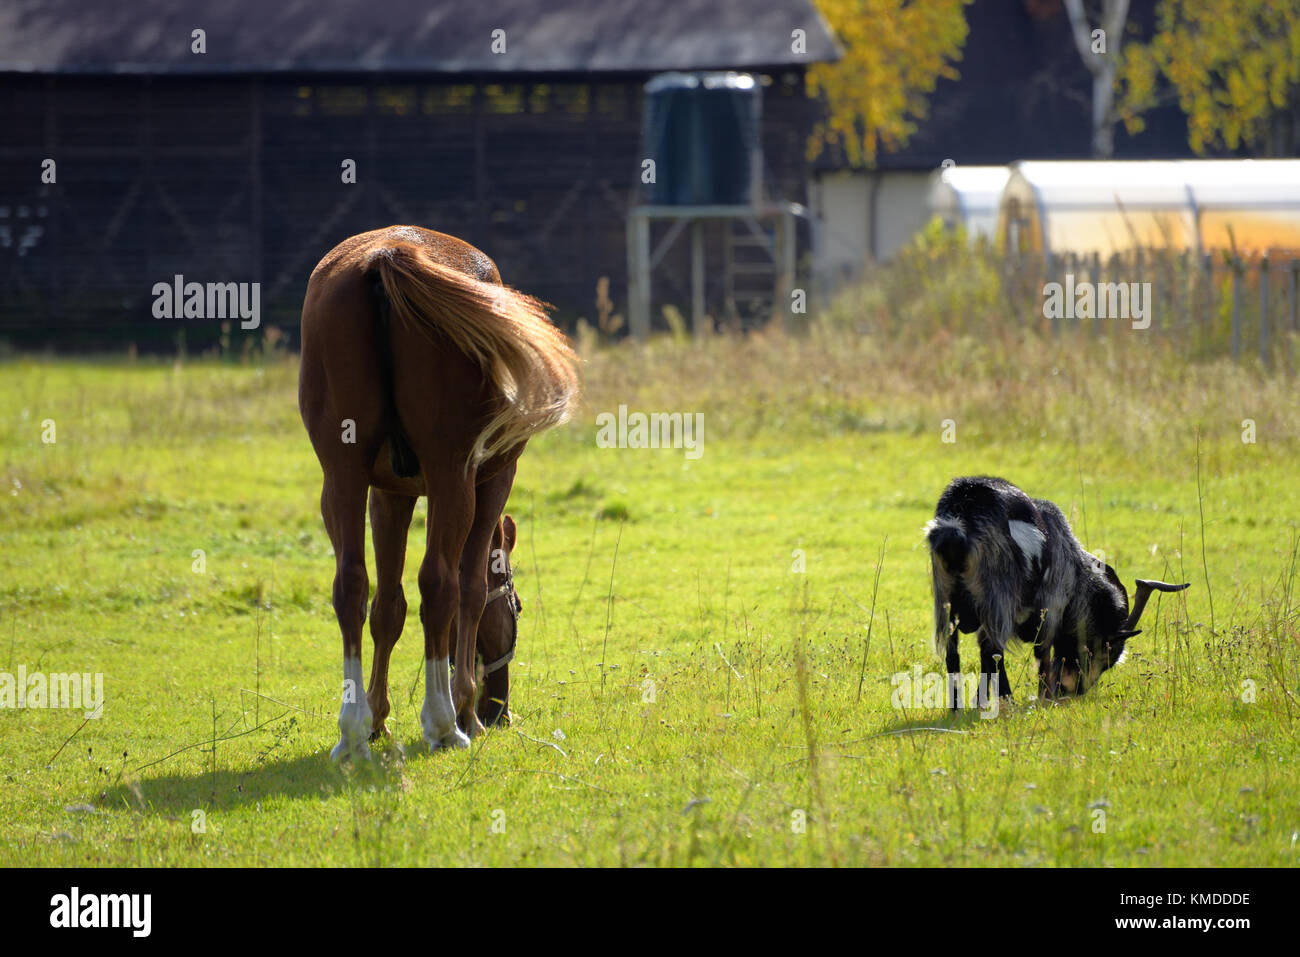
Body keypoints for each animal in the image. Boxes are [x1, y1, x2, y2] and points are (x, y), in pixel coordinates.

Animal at [298, 225, 579, 761]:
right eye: (516, 607)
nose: (500, 710)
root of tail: (389, 254)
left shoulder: (389, 495)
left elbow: (388, 607)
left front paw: (377, 718)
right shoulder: (491, 483)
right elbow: (470, 590)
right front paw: (466, 707)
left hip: (341, 476)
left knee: (351, 586)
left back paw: (352, 732)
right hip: (455, 479)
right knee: (441, 584)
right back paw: (446, 723)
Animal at [926, 476, 1188, 708]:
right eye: (1105, 654)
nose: (1074, 690)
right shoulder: (1052, 603)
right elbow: (1041, 652)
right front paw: (1045, 699)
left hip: (947, 600)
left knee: (953, 653)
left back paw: (956, 708)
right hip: (998, 597)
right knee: (994, 650)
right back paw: (1005, 702)